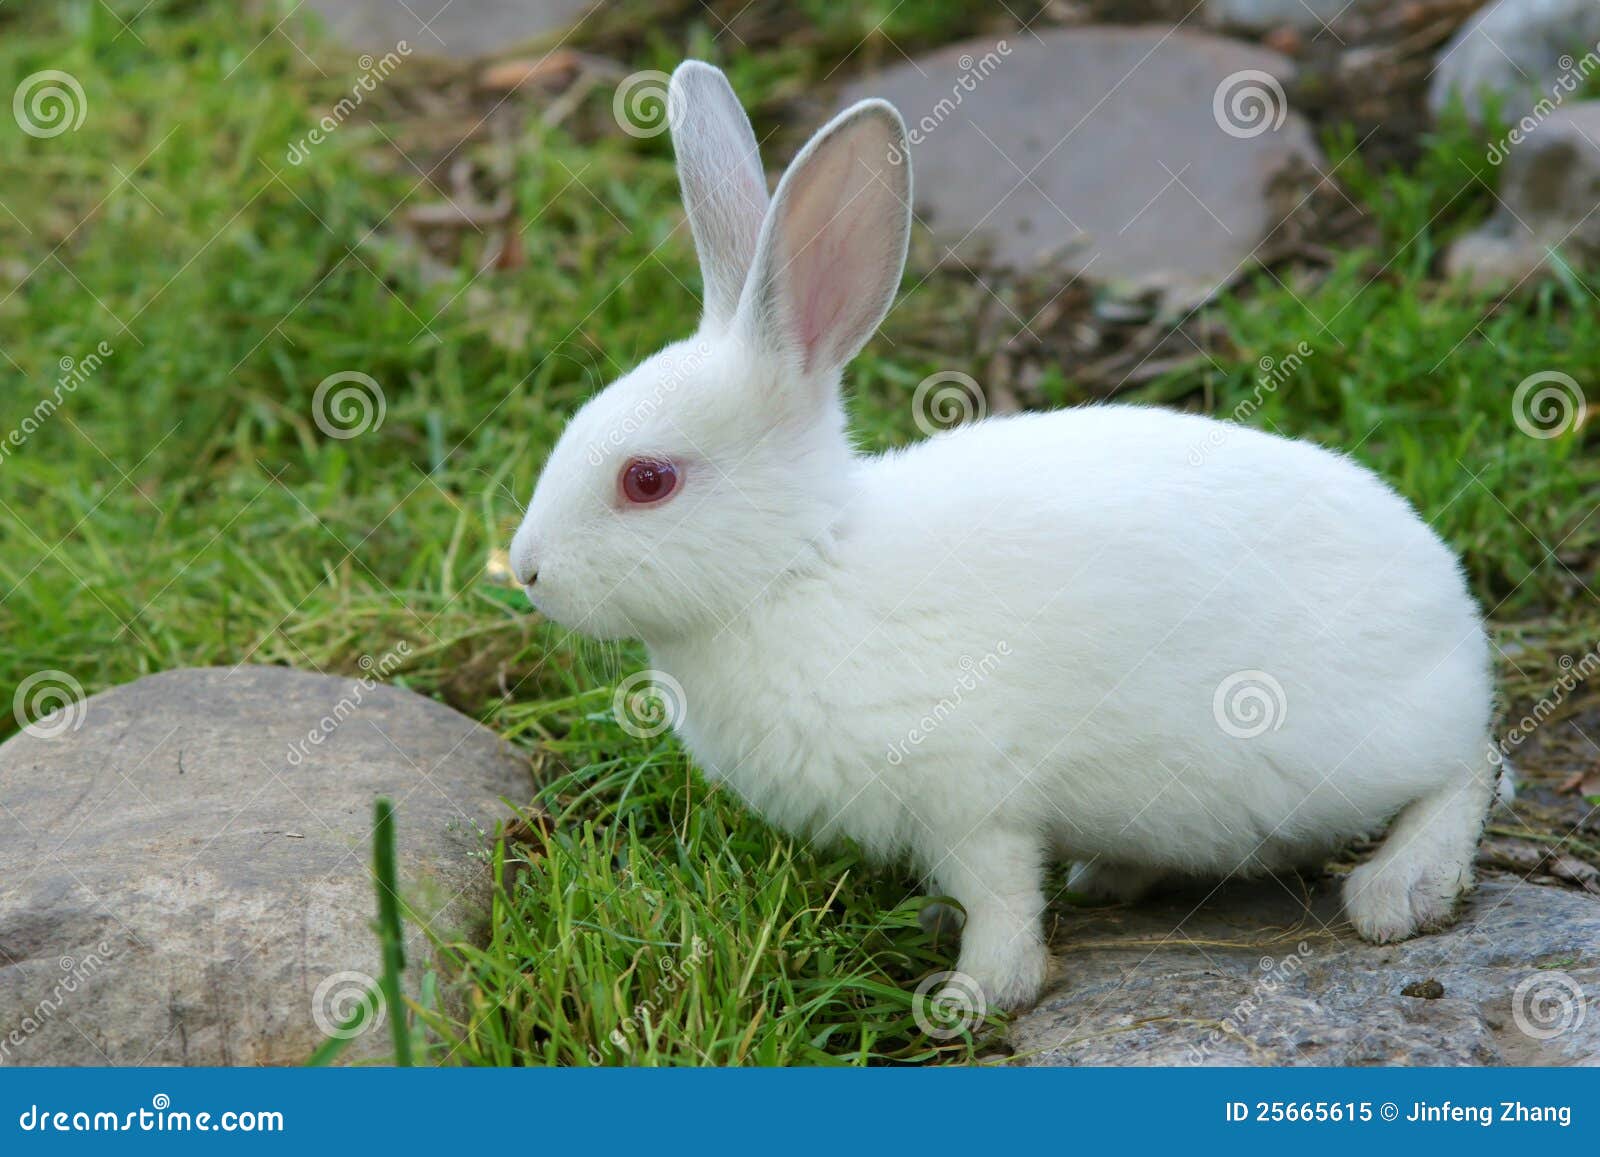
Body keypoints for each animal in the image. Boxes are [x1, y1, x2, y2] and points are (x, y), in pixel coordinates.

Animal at [508, 60, 1498, 1012]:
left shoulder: (972, 798)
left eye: (648, 480)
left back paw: (1398, 889)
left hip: (1365, 749)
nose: (527, 572)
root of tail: (1456, 618)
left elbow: (1002, 898)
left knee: (1470, 770)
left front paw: (978, 992)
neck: (801, 564)